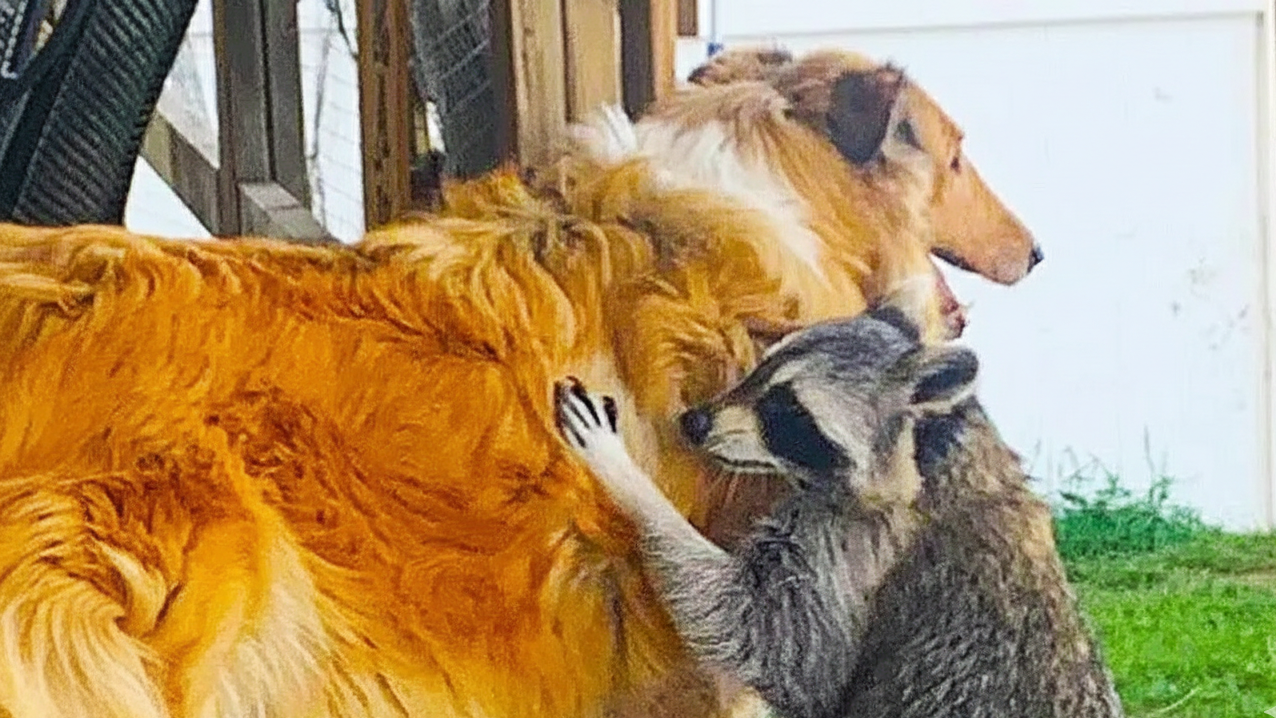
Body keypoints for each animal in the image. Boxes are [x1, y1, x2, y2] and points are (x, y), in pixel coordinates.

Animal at [554, 302, 1124, 718]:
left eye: (785, 410)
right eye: (761, 369)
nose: (695, 422)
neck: (932, 443)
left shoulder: (858, 539)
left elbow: (773, 641)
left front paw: (629, 479)